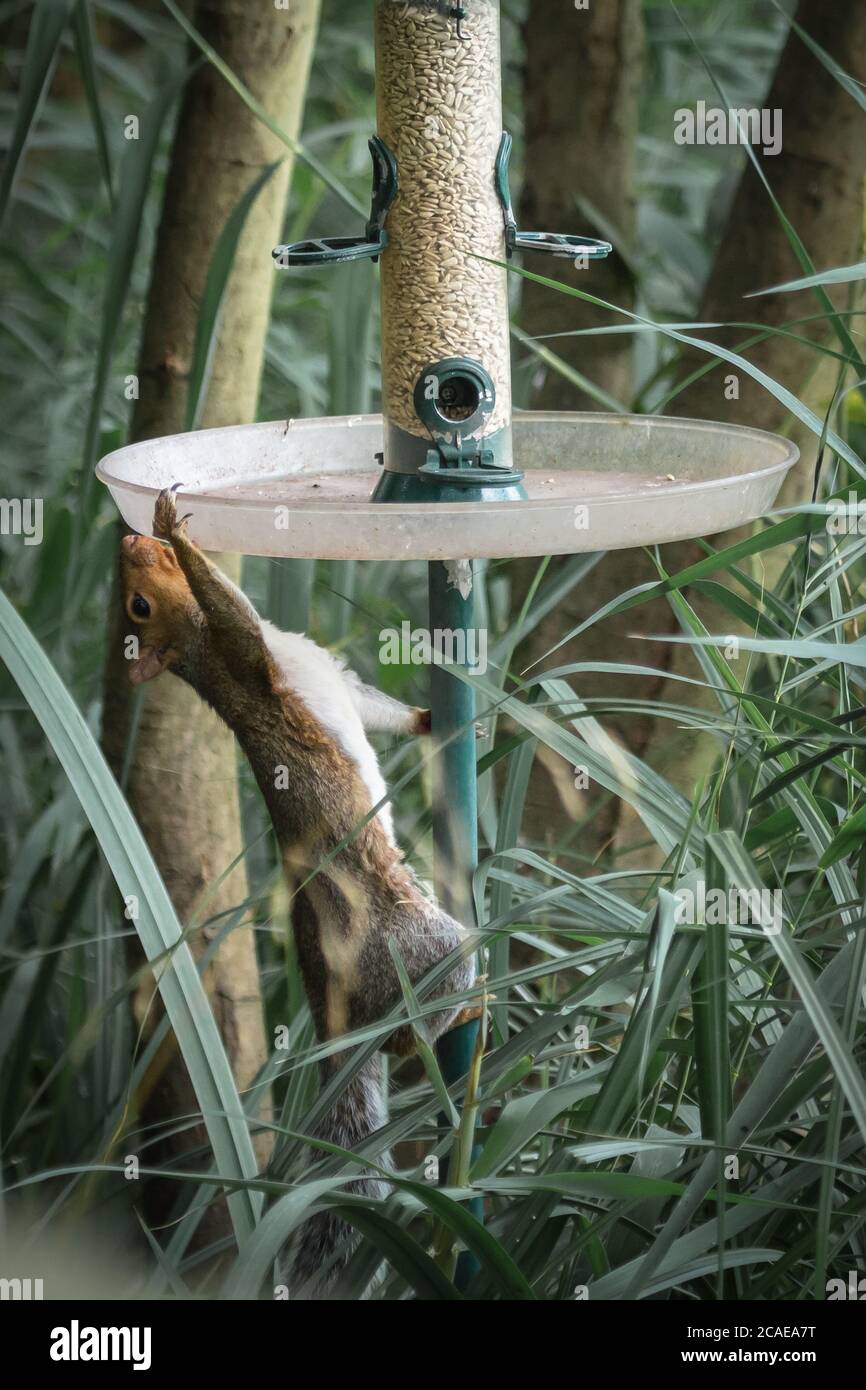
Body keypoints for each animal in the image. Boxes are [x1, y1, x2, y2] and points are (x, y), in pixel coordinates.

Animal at [119, 487, 476, 1293]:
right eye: (137, 607)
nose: (127, 544)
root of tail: (337, 1008)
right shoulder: (248, 659)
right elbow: (230, 613)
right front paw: (173, 528)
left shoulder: (324, 674)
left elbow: (376, 707)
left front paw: (428, 717)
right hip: (417, 944)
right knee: (427, 1007)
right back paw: (464, 1016)